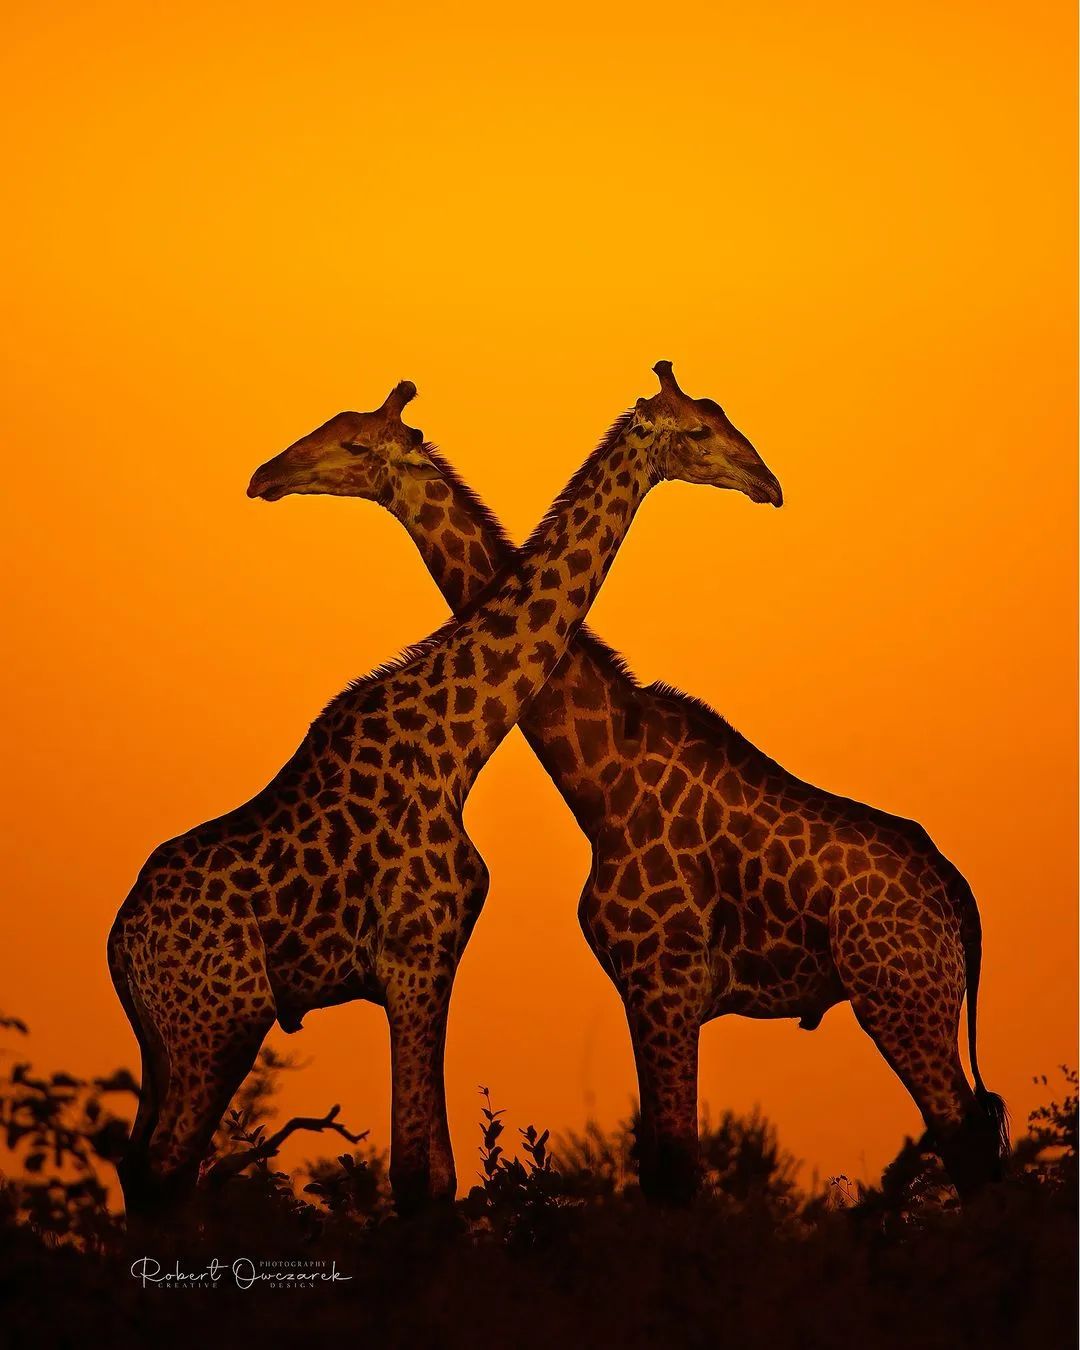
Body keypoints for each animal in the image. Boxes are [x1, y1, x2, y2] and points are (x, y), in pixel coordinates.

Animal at [108, 366, 781, 1221]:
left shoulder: (437, 950)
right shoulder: (412, 949)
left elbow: (436, 1178)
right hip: (219, 1021)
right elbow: (414, 1180)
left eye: (353, 441)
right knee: (165, 1171)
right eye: (699, 431)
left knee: (143, 1170)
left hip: (167, 1041)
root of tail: (120, 947)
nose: (768, 482)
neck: (457, 744)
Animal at [253, 362, 1008, 1204]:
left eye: (352, 444)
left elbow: (677, 1169)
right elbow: (659, 1165)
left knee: (967, 1141)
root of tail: (960, 904)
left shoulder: (667, 978)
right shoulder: (637, 983)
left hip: (904, 999)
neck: (602, 775)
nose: (266, 475)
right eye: (703, 427)